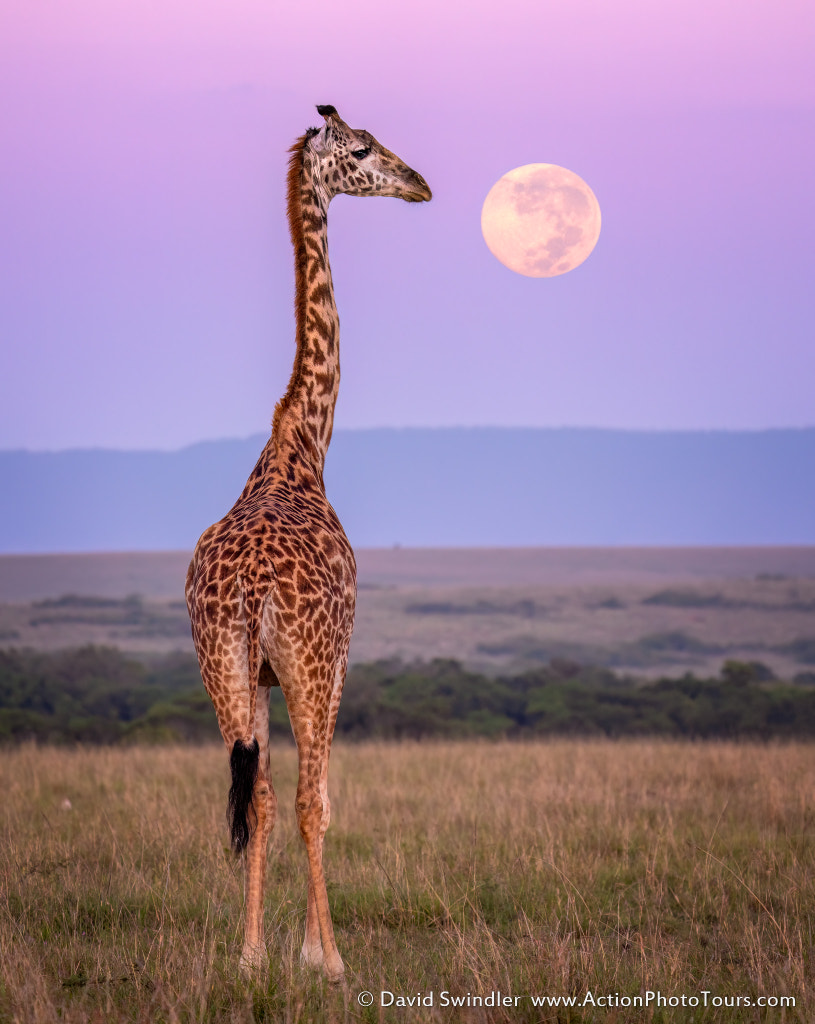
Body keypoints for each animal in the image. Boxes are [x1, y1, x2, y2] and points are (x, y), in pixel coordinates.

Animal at [185, 105, 431, 980]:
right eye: (362, 148)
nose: (420, 184)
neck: (299, 448)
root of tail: (253, 592)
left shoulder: (254, 670)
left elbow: (263, 797)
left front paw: (271, 952)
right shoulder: (342, 655)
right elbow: (321, 800)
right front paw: (319, 955)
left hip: (220, 664)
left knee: (252, 795)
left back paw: (248, 956)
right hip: (306, 659)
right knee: (300, 796)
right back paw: (327, 960)